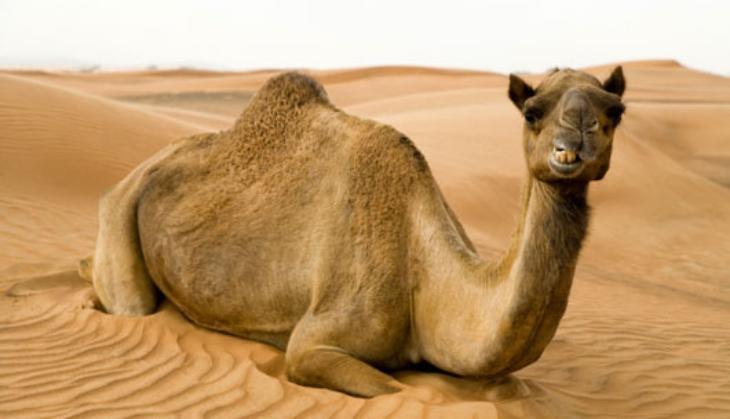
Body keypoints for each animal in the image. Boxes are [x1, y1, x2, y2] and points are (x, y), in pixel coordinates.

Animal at [80, 67, 626, 398]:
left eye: (615, 111)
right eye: (532, 112)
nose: (574, 139)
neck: (425, 274)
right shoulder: (313, 344)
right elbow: (393, 389)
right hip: (120, 209)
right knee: (130, 302)